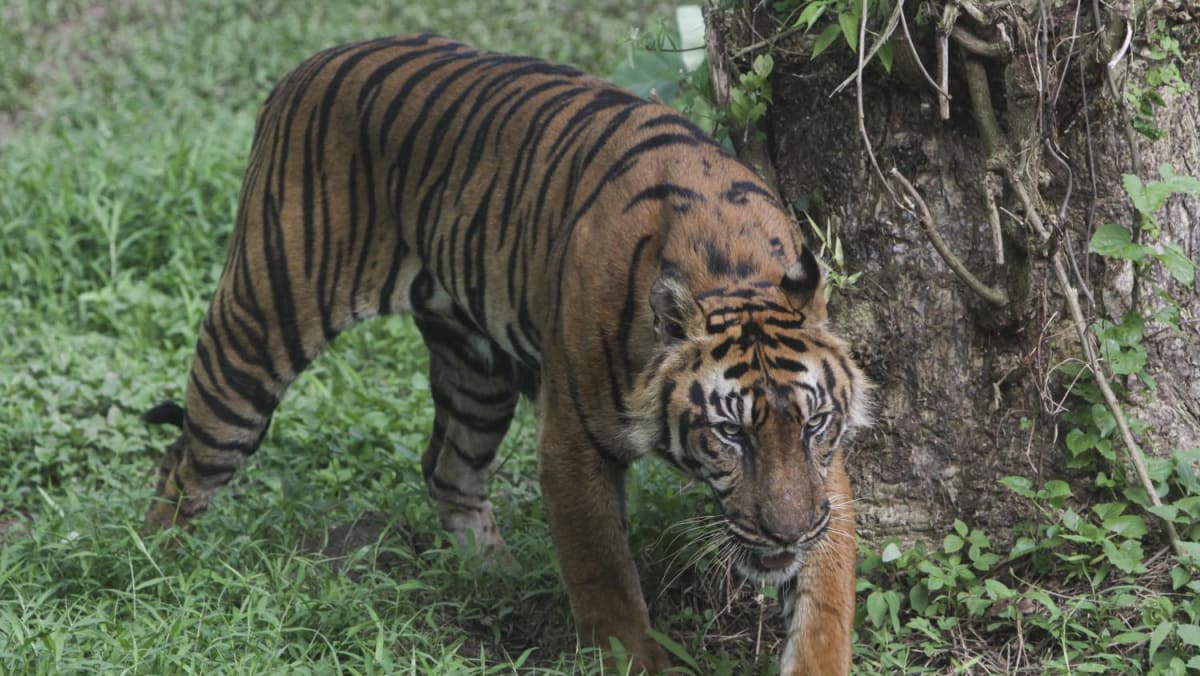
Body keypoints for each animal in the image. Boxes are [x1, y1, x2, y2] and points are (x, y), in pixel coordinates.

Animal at [141, 34, 873, 674]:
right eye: (730, 434)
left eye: (812, 426)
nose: (789, 535)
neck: (732, 266)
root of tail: (306, 67)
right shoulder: (573, 444)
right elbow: (608, 588)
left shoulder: (827, 476)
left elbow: (827, 605)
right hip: (256, 333)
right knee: (182, 462)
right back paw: (158, 574)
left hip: (476, 371)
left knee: (447, 469)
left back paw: (497, 578)